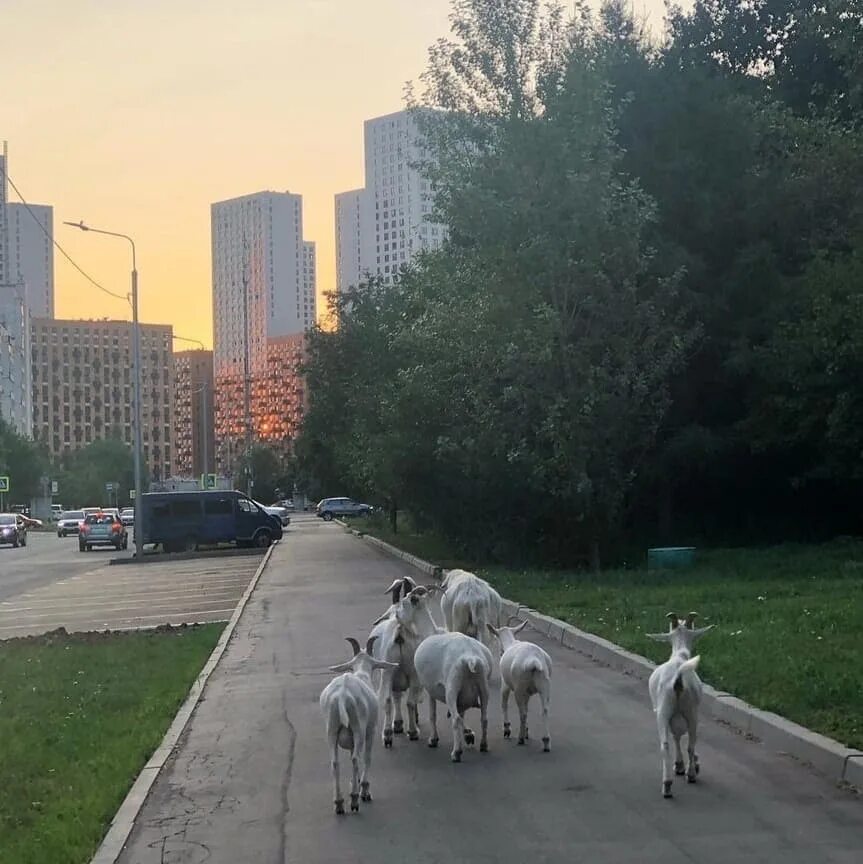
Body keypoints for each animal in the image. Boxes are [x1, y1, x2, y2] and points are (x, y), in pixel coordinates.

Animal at [318, 636, 396, 808]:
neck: (361, 674)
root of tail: (342, 695)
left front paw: (358, 782)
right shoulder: (371, 730)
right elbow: (366, 758)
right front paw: (364, 789)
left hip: (331, 730)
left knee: (335, 762)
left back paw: (339, 802)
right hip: (358, 728)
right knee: (355, 759)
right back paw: (354, 799)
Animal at [414, 628, 492, 764]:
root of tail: (471, 658)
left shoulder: (431, 691)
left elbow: (432, 715)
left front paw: (433, 739)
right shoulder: (461, 699)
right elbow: (462, 713)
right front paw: (468, 734)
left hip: (452, 688)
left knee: (456, 719)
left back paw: (456, 753)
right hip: (483, 686)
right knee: (484, 719)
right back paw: (483, 745)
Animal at [486, 620, 552, 748]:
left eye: (496, 638)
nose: (500, 652)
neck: (510, 643)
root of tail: (534, 660)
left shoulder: (505, 684)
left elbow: (504, 704)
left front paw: (507, 729)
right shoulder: (528, 693)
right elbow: (526, 706)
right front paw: (526, 730)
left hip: (519, 687)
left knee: (522, 713)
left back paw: (520, 739)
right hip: (544, 684)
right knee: (544, 710)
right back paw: (546, 741)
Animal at [648, 612, 716, 800]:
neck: (679, 656)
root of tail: (678, 677)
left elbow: (676, 736)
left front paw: (679, 765)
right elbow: (679, 737)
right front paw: (681, 766)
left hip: (663, 712)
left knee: (666, 744)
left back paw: (667, 784)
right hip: (690, 711)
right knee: (689, 744)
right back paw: (690, 773)